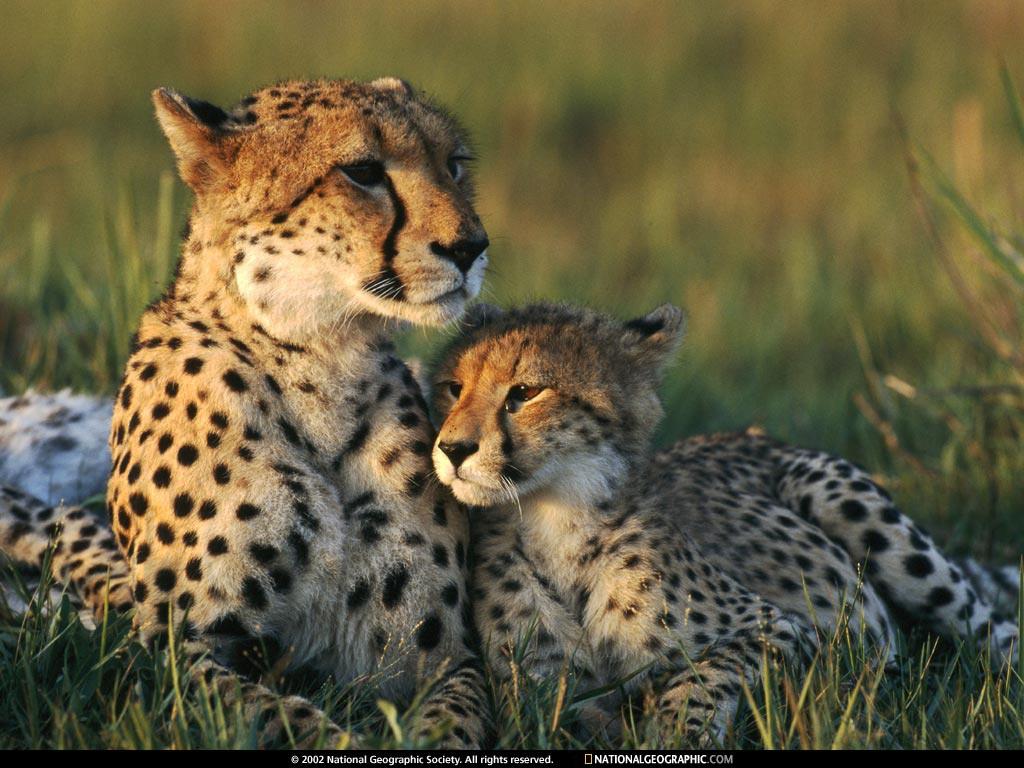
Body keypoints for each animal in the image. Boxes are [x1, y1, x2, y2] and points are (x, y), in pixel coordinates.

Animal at [0, 77, 491, 748]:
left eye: (454, 164)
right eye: (363, 171)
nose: (471, 247)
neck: (323, 363)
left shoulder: (439, 656)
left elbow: (457, 719)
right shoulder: (174, 656)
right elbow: (281, 714)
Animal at [428, 301, 1021, 744]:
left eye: (526, 392)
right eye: (454, 388)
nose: (453, 449)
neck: (554, 519)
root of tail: (753, 434)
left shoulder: (799, 637)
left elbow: (704, 673)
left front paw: (674, 732)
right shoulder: (539, 696)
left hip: (849, 505)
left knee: (993, 630)